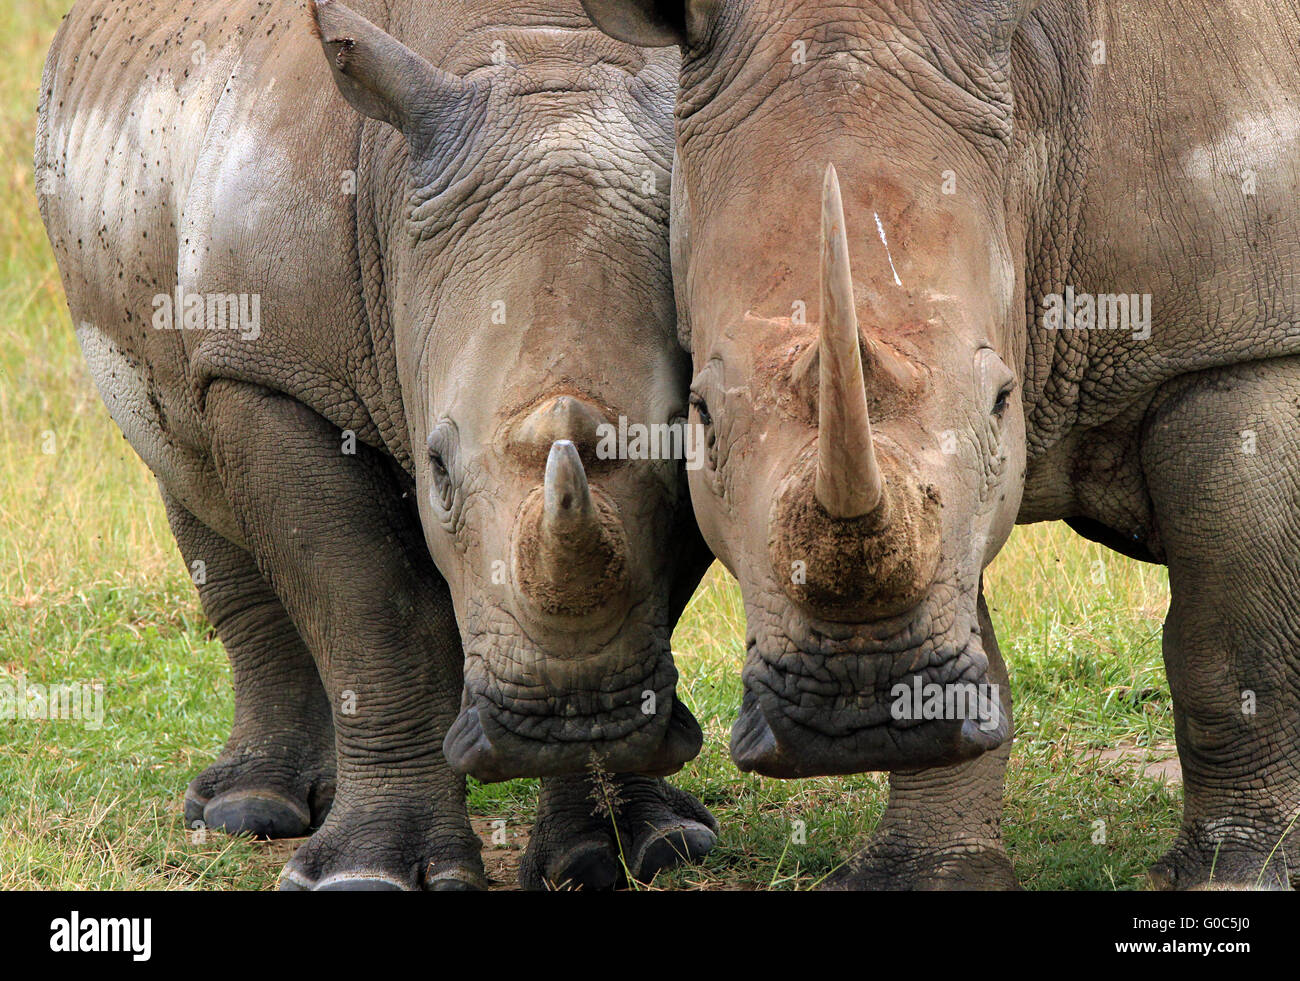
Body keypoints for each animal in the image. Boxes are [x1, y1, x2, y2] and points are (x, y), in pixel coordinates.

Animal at [37, 0, 718, 890]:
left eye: (681, 451)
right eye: (438, 469)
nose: (567, 721)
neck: (538, 50)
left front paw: (640, 846)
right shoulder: (274, 366)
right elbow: (371, 606)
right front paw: (365, 874)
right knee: (188, 481)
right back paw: (248, 811)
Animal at [583, 0, 1300, 889]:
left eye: (1000, 402)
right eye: (702, 418)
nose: (853, 711)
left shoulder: (1235, 347)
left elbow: (1230, 640)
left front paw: (1235, 870)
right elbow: (964, 602)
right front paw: (920, 869)